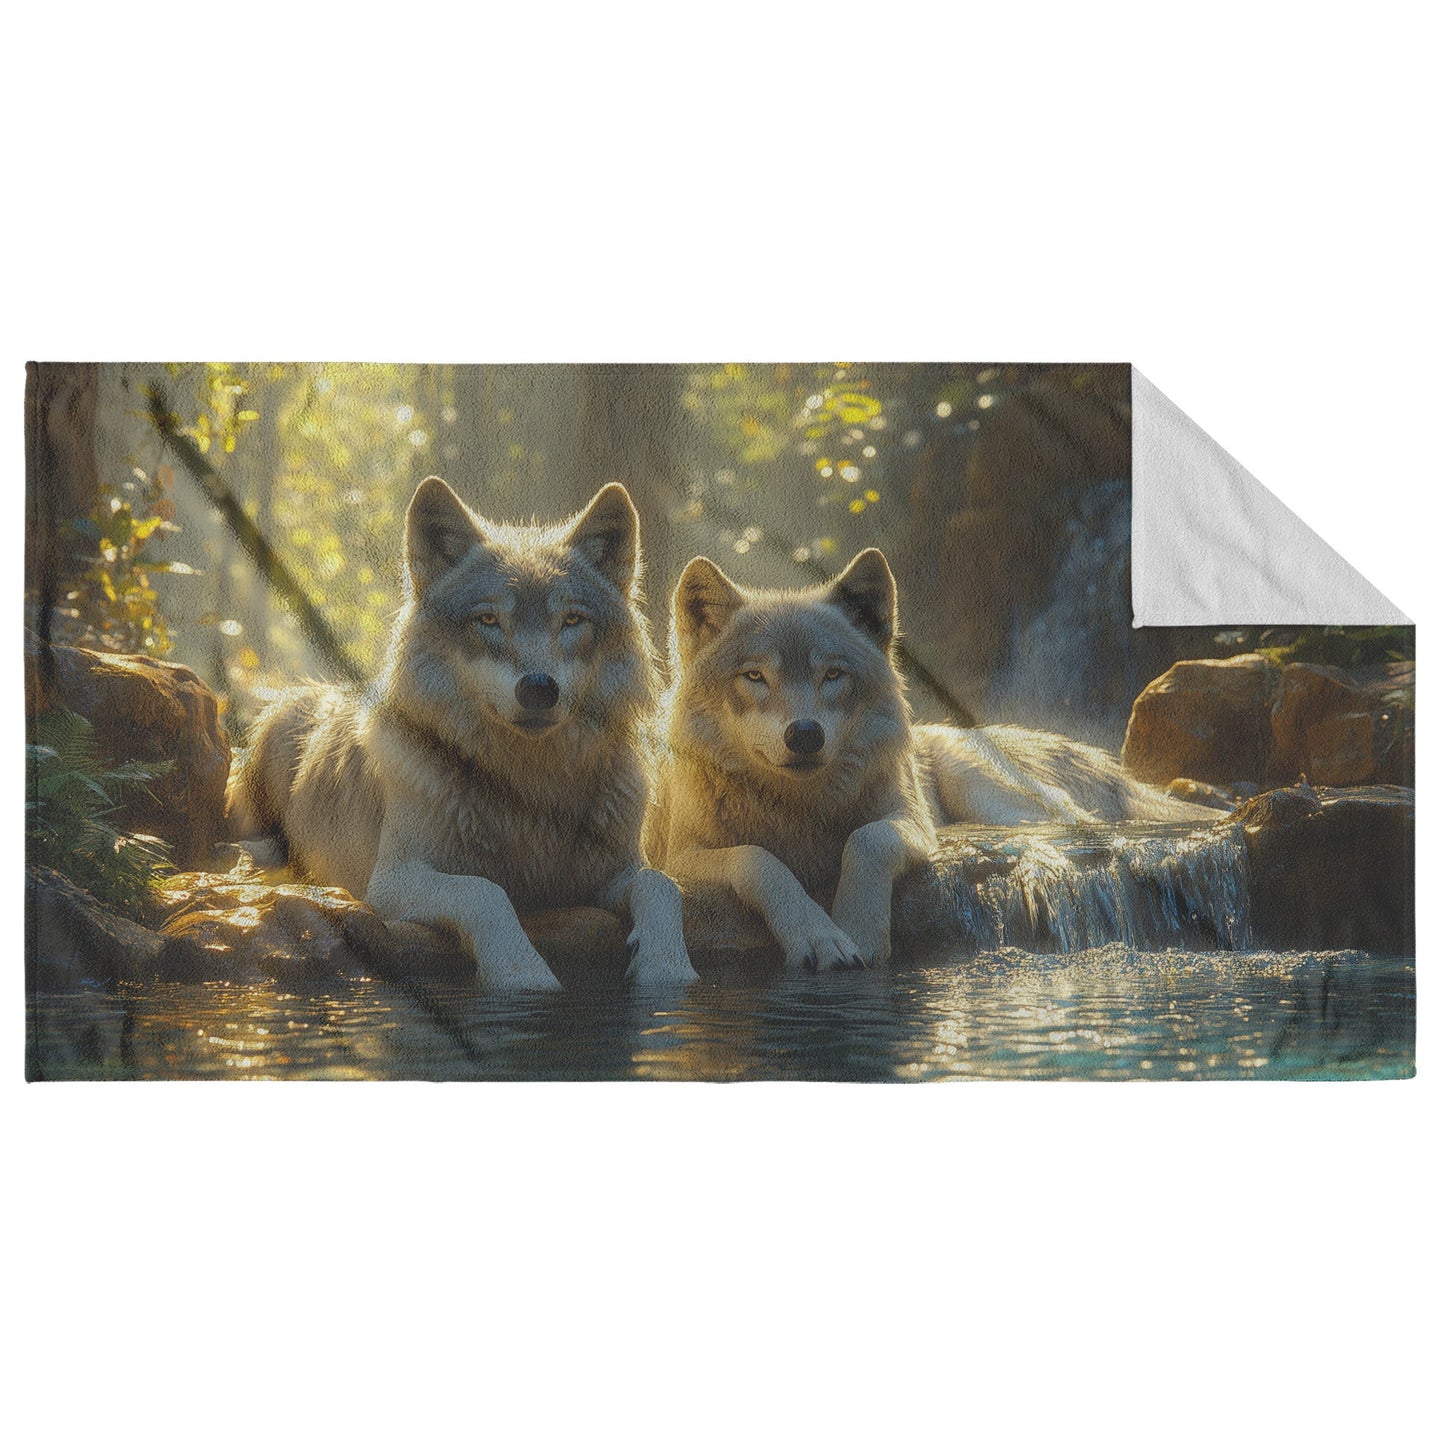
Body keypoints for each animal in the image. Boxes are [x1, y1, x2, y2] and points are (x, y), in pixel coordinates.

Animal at [229, 477, 698, 991]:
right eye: (488, 620)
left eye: (572, 620)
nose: (539, 688)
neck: (529, 788)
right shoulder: (390, 880)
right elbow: (484, 892)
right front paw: (521, 972)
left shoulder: (616, 871)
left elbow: (661, 885)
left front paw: (667, 967)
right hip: (283, 721)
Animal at [648, 547, 1212, 971]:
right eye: (754, 676)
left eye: (832, 675)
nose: (805, 735)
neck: (798, 808)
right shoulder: (679, 857)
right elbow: (758, 860)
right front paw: (818, 936)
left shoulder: (909, 820)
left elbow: (867, 841)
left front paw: (857, 931)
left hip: (983, 789)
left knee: (1071, 821)